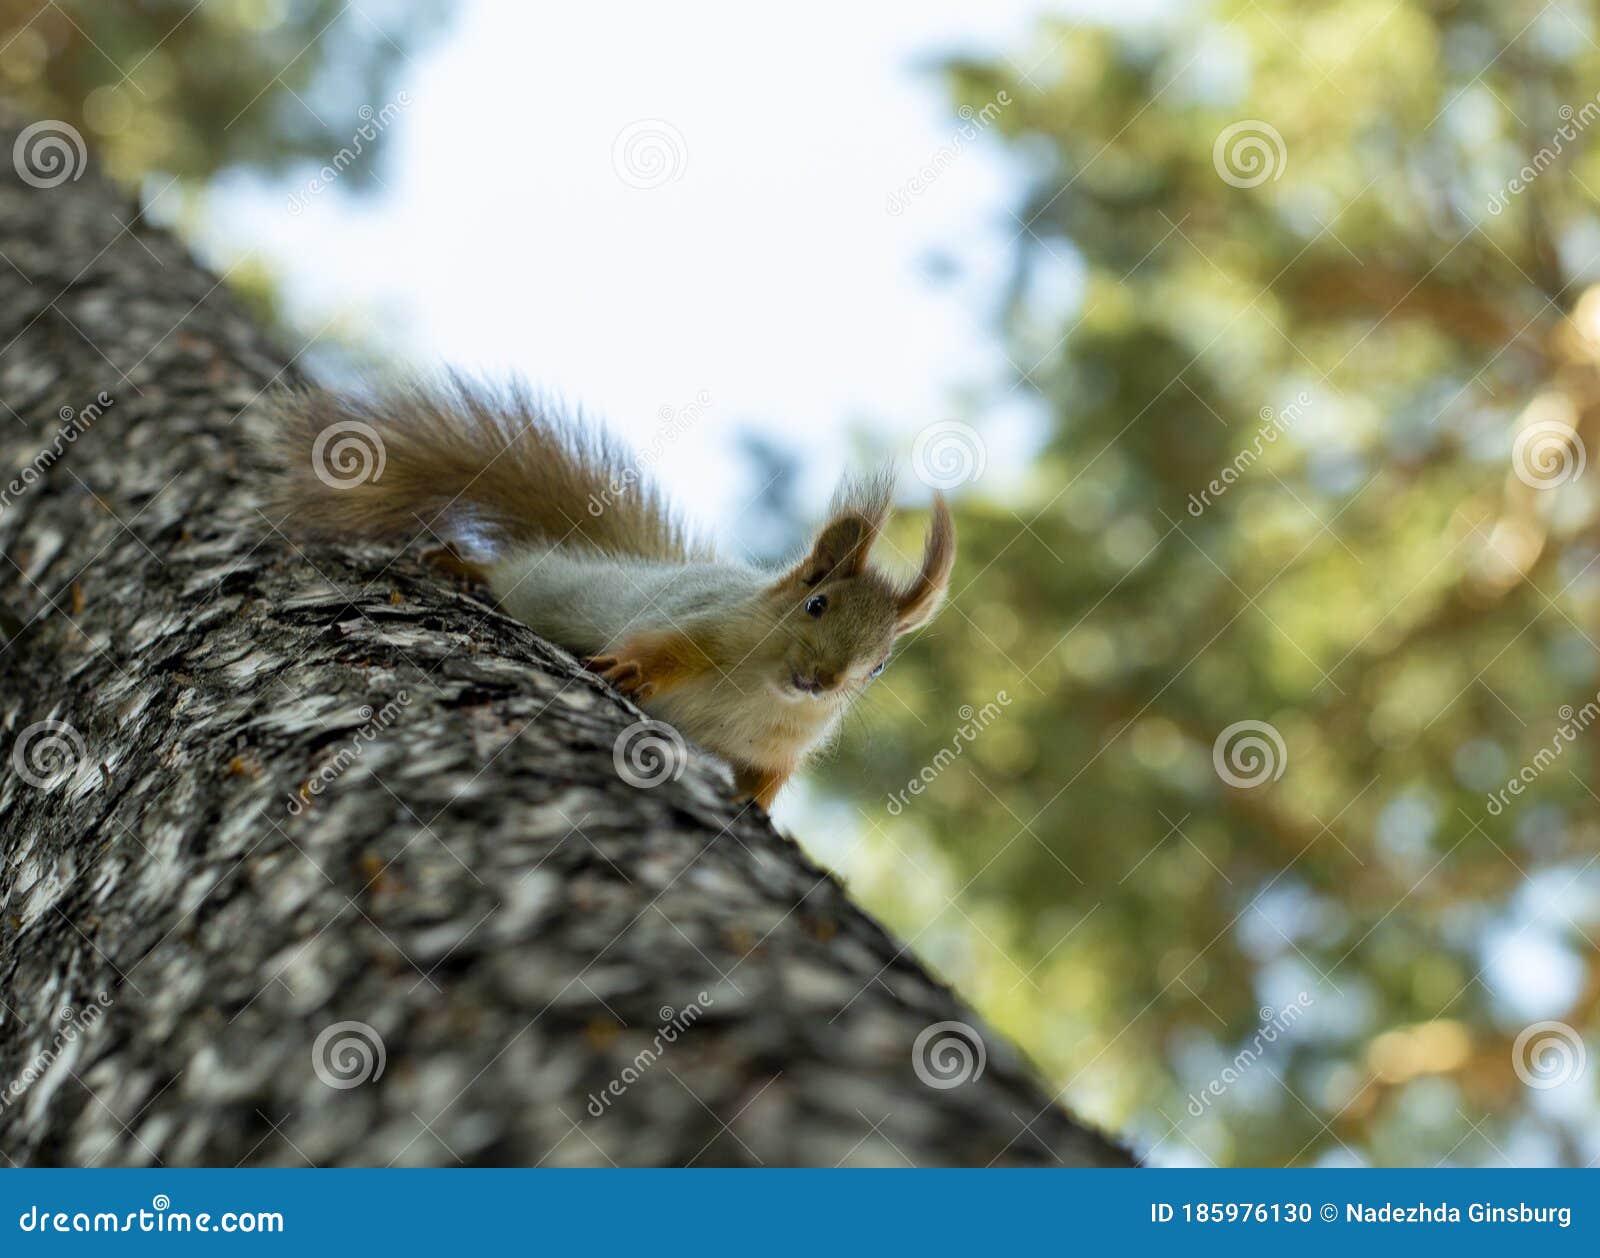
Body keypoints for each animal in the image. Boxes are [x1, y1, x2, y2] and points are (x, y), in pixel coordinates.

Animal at [265, 375, 955, 808]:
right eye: (816, 604)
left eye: (879, 666)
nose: (823, 681)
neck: (765, 690)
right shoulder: (707, 625)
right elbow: (659, 648)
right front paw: (629, 670)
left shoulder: (781, 748)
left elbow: (765, 779)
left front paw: (757, 809)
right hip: (548, 585)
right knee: (511, 571)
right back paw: (466, 567)